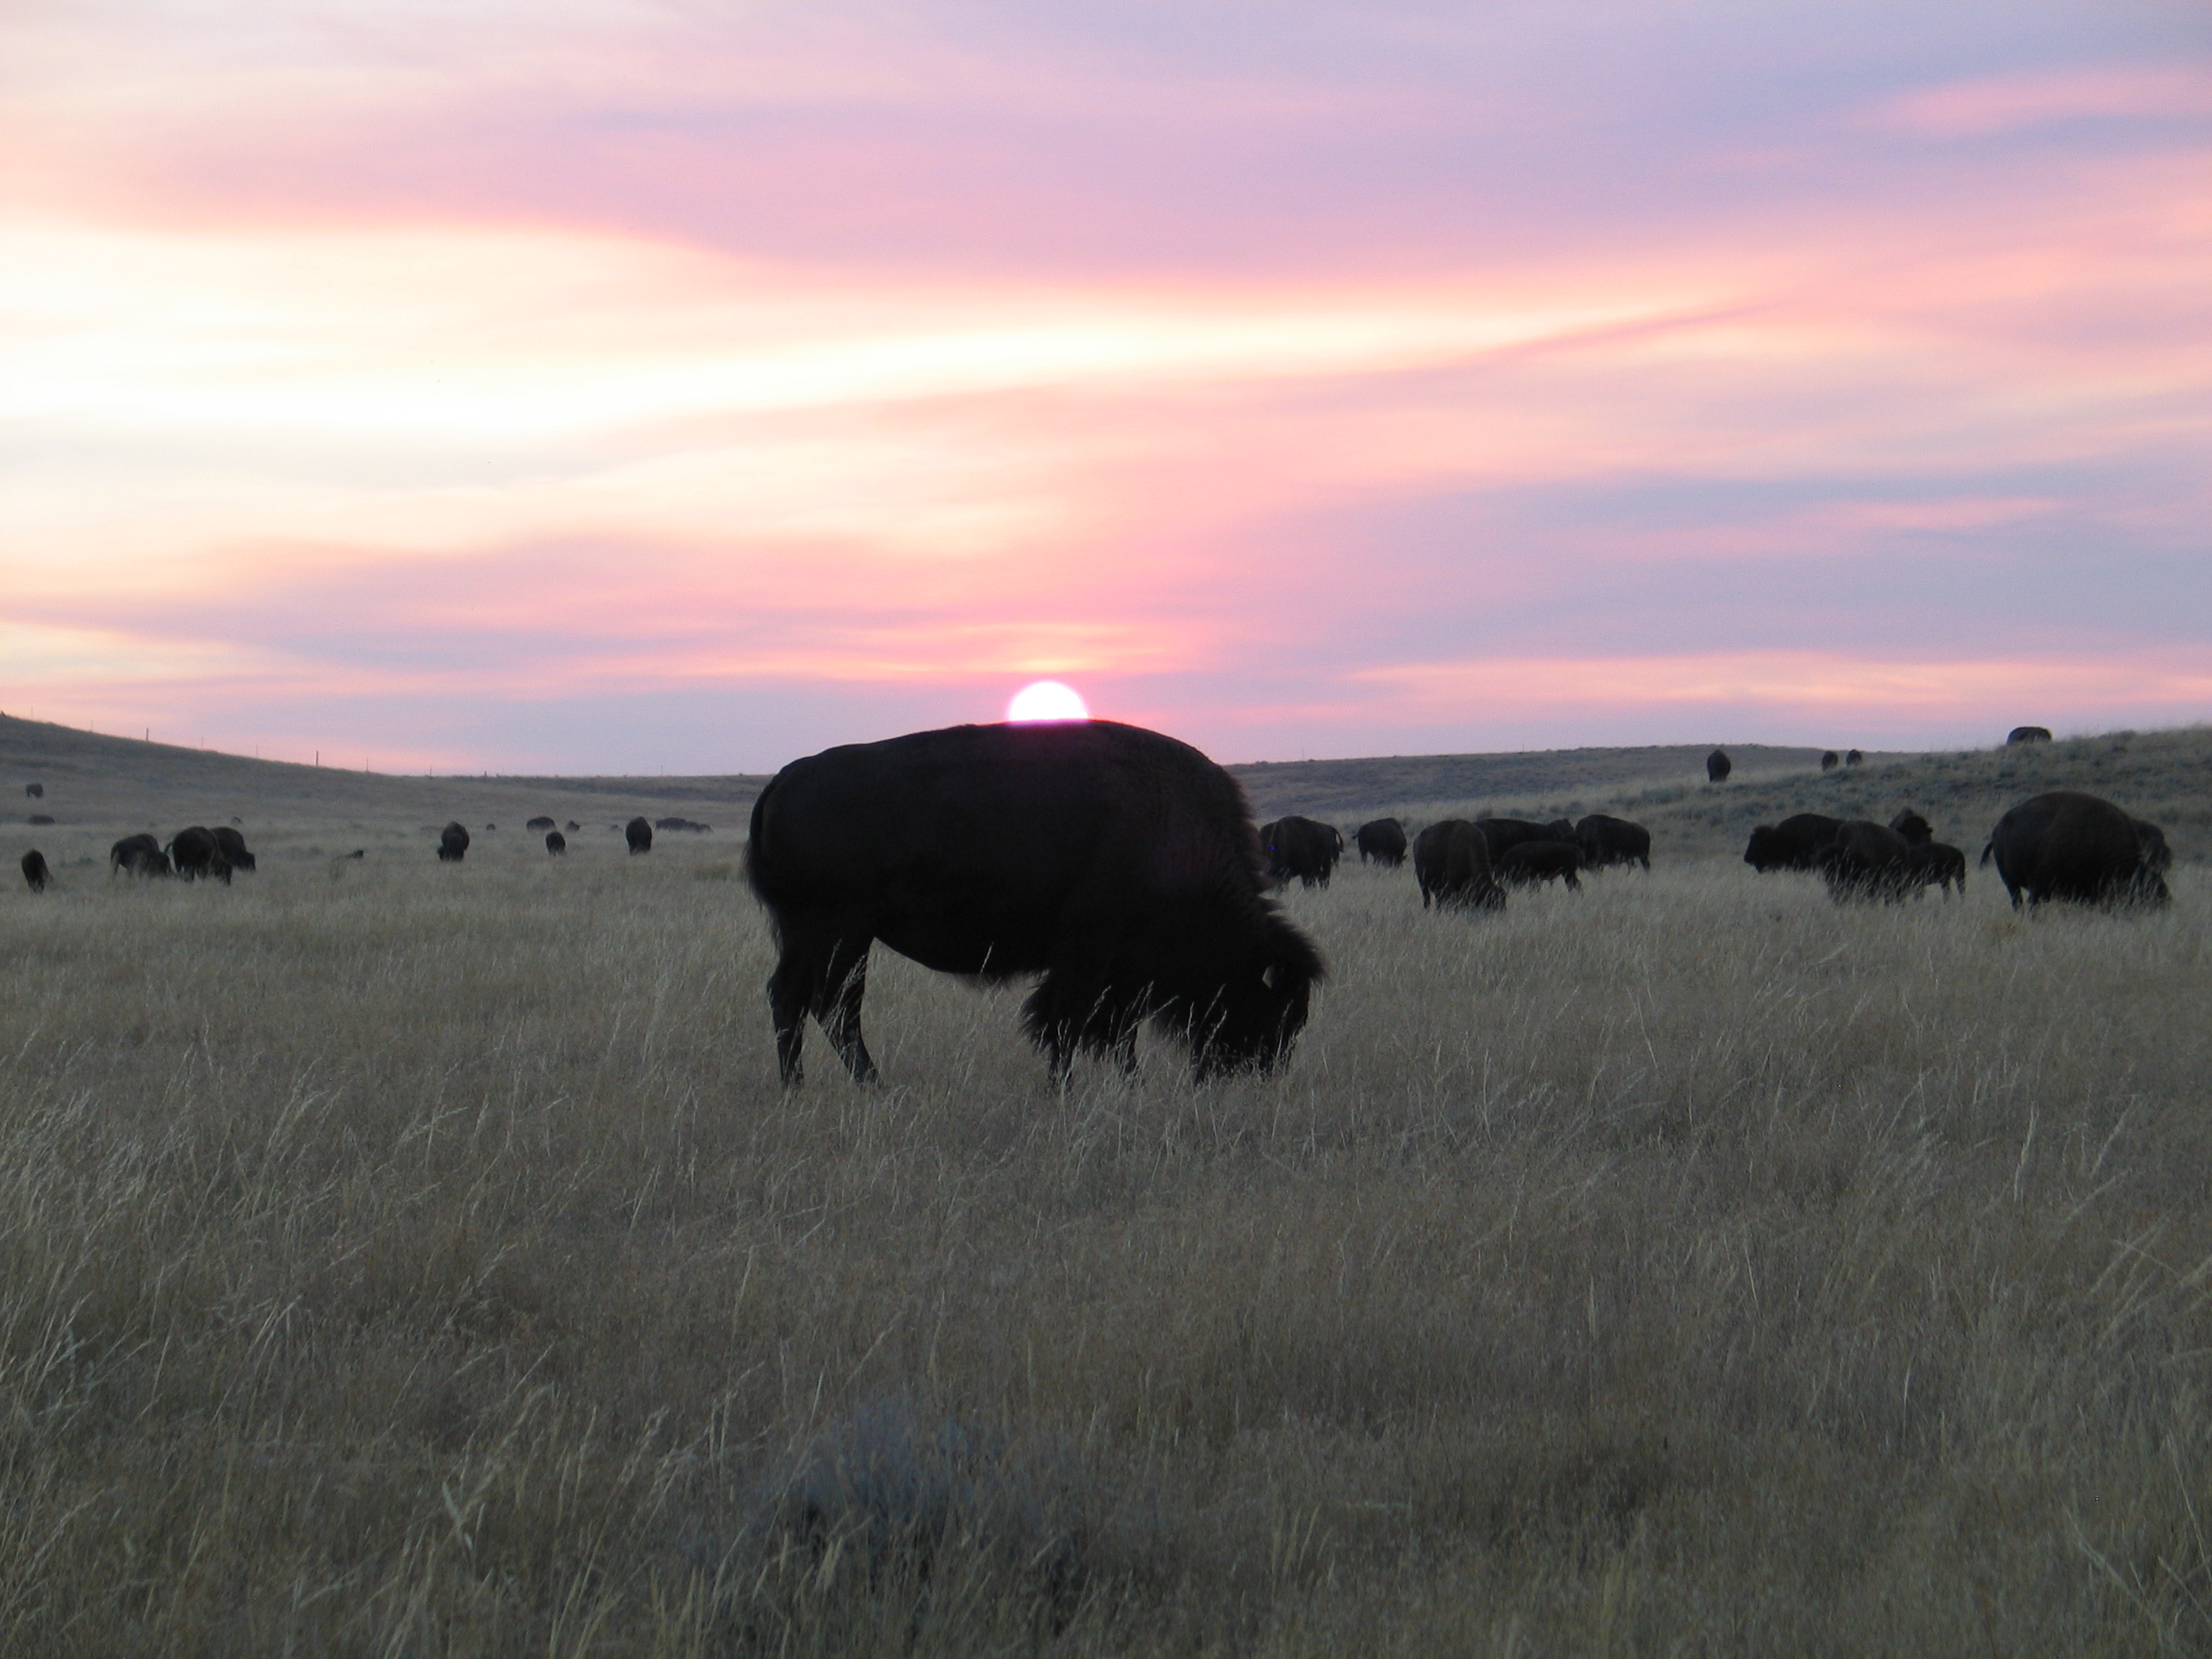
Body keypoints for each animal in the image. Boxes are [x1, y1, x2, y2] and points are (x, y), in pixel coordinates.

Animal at [746, 720, 1324, 1087]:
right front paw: (1064, 1092)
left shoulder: (1117, 972)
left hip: (811, 935)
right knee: (834, 1007)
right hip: (842, 933)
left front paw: (1127, 1087)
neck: (1172, 829)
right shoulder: (1087, 957)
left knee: (791, 998)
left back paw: (797, 1089)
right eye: (1277, 1012)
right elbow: (1067, 1026)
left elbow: (1114, 1034)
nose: (1261, 1071)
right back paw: (873, 1088)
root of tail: (785, 779)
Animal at [1982, 791, 2169, 910]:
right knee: (2017, 901)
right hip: (2010, 882)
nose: (2165, 905)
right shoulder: (2040, 885)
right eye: (2147, 892)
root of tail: (1997, 831)